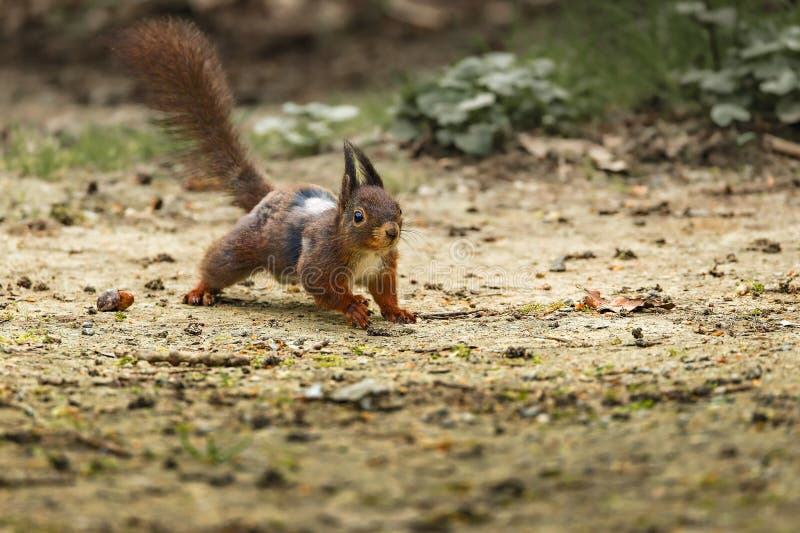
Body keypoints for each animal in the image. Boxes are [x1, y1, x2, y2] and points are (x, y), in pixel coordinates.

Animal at [116, 19, 416, 328]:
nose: (392, 232)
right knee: (218, 263)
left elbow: (385, 293)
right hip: (242, 246)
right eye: (358, 216)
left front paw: (397, 311)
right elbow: (325, 288)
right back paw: (201, 289)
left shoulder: (382, 267)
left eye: (399, 209)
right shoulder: (319, 261)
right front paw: (353, 305)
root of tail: (271, 195)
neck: (365, 250)